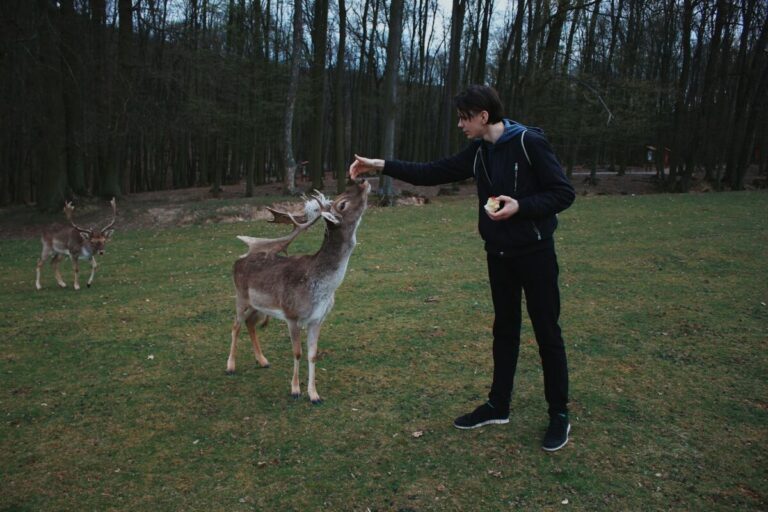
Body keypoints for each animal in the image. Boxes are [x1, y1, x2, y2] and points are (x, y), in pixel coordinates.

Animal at [227, 180, 370, 403]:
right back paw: (231, 366)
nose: (362, 182)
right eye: (342, 204)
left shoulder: (318, 319)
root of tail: (238, 261)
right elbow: (297, 353)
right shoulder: (292, 315)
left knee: (250, 324)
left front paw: (314, 394)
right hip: (241, 298)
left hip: (259, 306)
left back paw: (262, 360)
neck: (320, 289)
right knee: (235, 326)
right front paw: (295, 390)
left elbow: (312, 354)